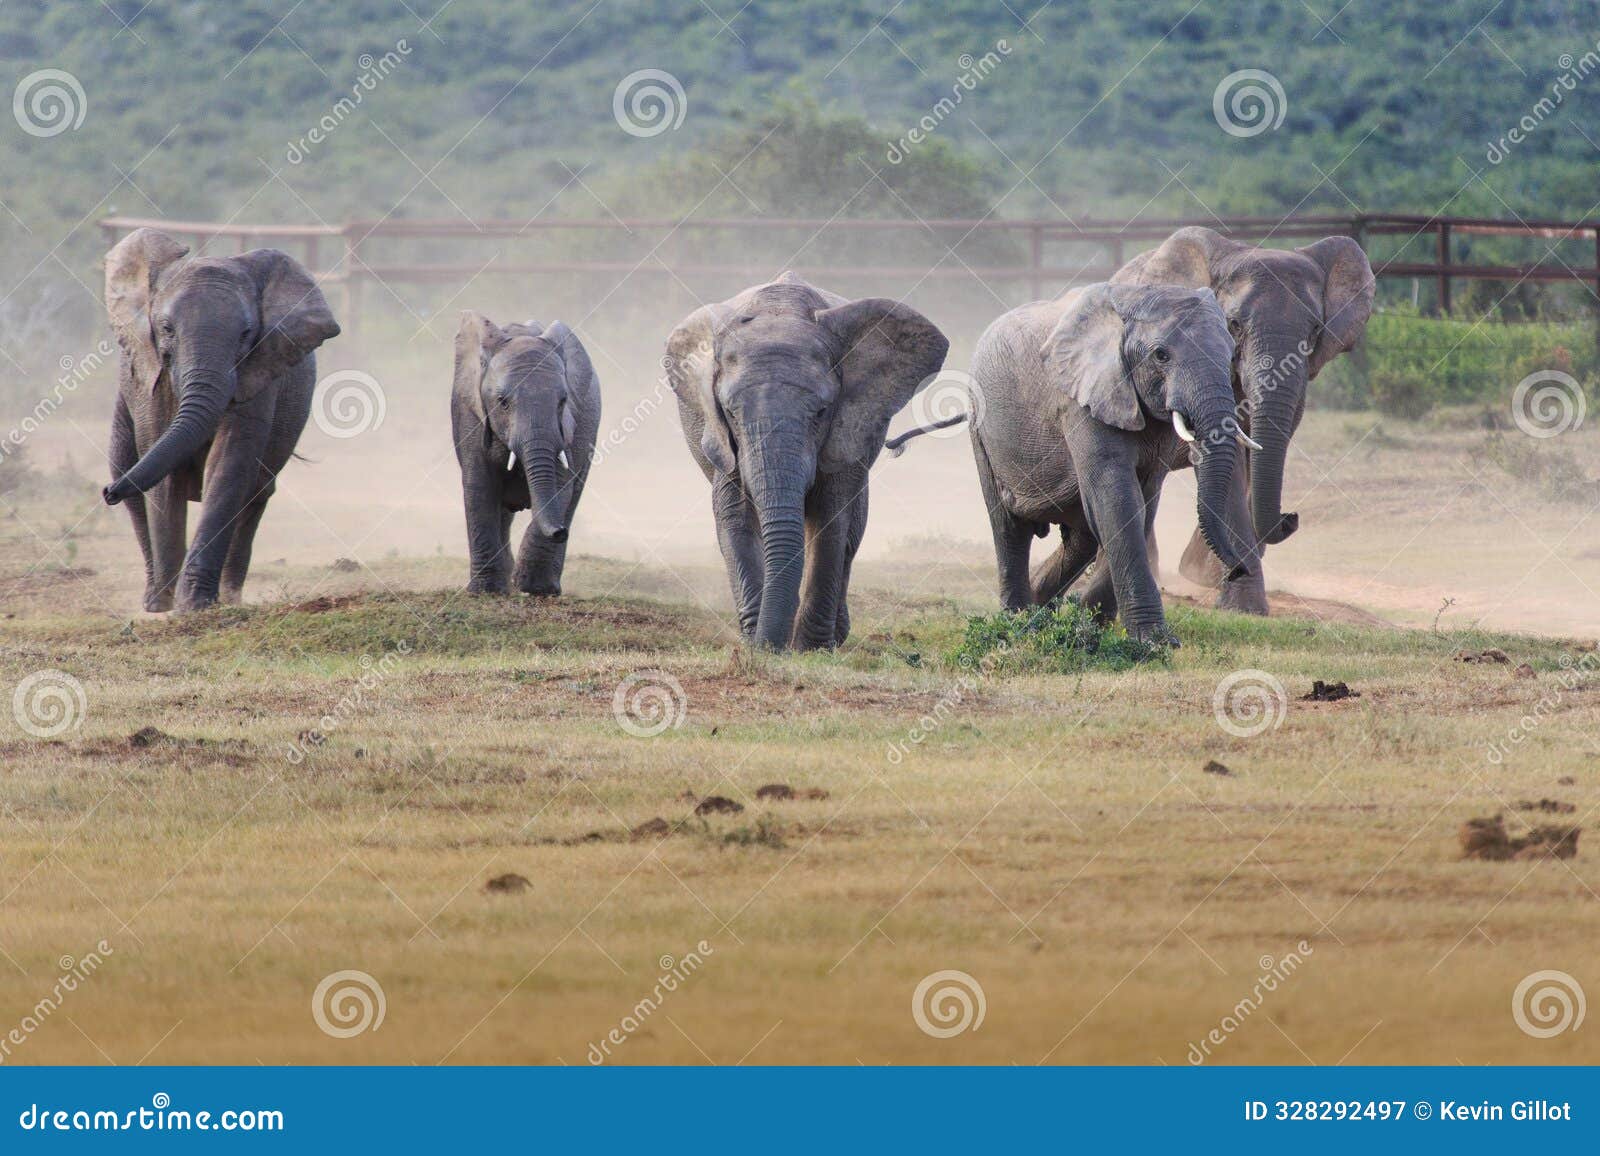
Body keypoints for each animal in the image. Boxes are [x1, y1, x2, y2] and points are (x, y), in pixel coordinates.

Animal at [102, 227, 340, 612]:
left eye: (246, 334)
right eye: (166, 328)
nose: (106, 493)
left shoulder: (260, 370)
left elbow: (229, 462)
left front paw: (194, 605)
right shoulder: (150, 381)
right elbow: (162, 472)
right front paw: (168, 607)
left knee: (256, 493)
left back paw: (228, 598)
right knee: (126, 467)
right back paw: (154, 601)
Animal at [450, 312, 600, 596]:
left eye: (563, 402)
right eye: (503, 402)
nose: (560, 532)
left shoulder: (570, 425)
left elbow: (561, 485)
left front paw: (533, 588)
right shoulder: (470, 414)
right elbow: (479, 486)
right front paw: (485, 592)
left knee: (573, 494)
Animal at [665, 272, 949, 650]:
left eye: (822, 412)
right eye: (730, 413)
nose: (770, 648)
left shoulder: (845, 427)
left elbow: (831, 519)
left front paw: (809, 647)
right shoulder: (721, 439)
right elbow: (736, 517)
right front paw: (757, 641)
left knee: (851, 533)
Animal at [905, 282, 1254, 645]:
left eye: (1231, 354)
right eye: (1161, 355)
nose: (1238, 570)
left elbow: (1141, 502)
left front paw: (1094, 626)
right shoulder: (1080, 402)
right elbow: (1117, 498)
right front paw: (1154, 642)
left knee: (1081, 536)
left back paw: (1040, 608)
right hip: (981, 429)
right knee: (1009, 526)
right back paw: (1017, 622)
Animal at [1110, 226, 1375, 615]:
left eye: (1314, 331)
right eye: (1233, 325)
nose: (1290, 518)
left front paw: (1210, 577)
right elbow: (1230, 458)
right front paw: (1244, 606)